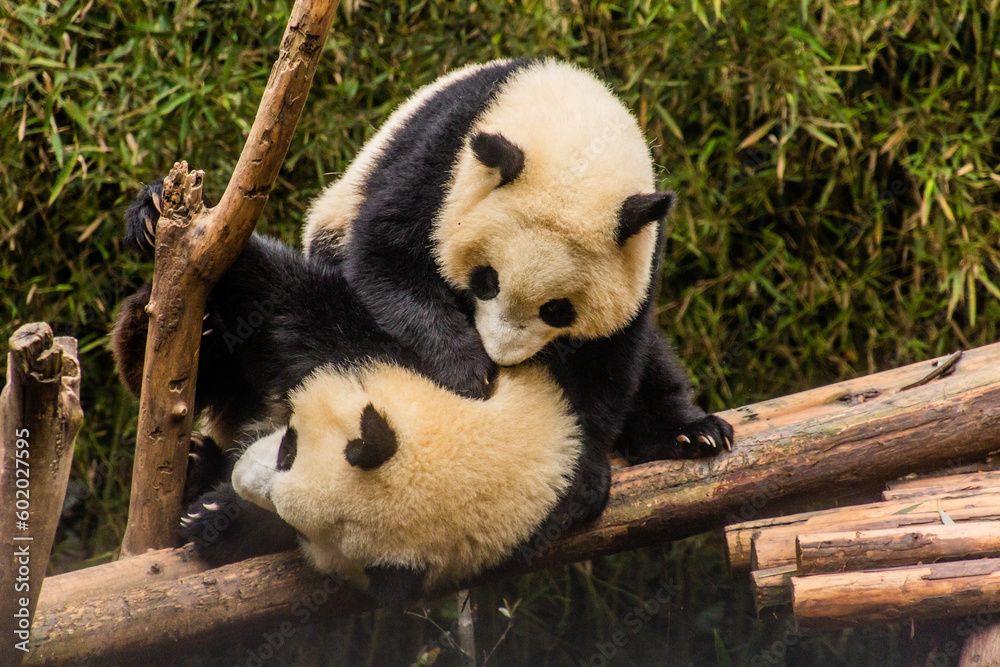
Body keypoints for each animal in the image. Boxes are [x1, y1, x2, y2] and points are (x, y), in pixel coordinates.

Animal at [114, 187, 582, 609]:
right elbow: (286, 295)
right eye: (289, 448)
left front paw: (211, 516)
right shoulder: (404, 347)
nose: (239, 477)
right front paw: (156, 212)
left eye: (299, 529)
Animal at [302, 58, 734, 527]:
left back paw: (694, 434)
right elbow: (387, 256)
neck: (574, 127)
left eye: (558, 310)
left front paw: (578, 479)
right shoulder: (439, 161)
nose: (500, 355)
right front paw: (469, 372)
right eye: (486, 280)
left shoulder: (644, 252)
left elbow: (609, 357)